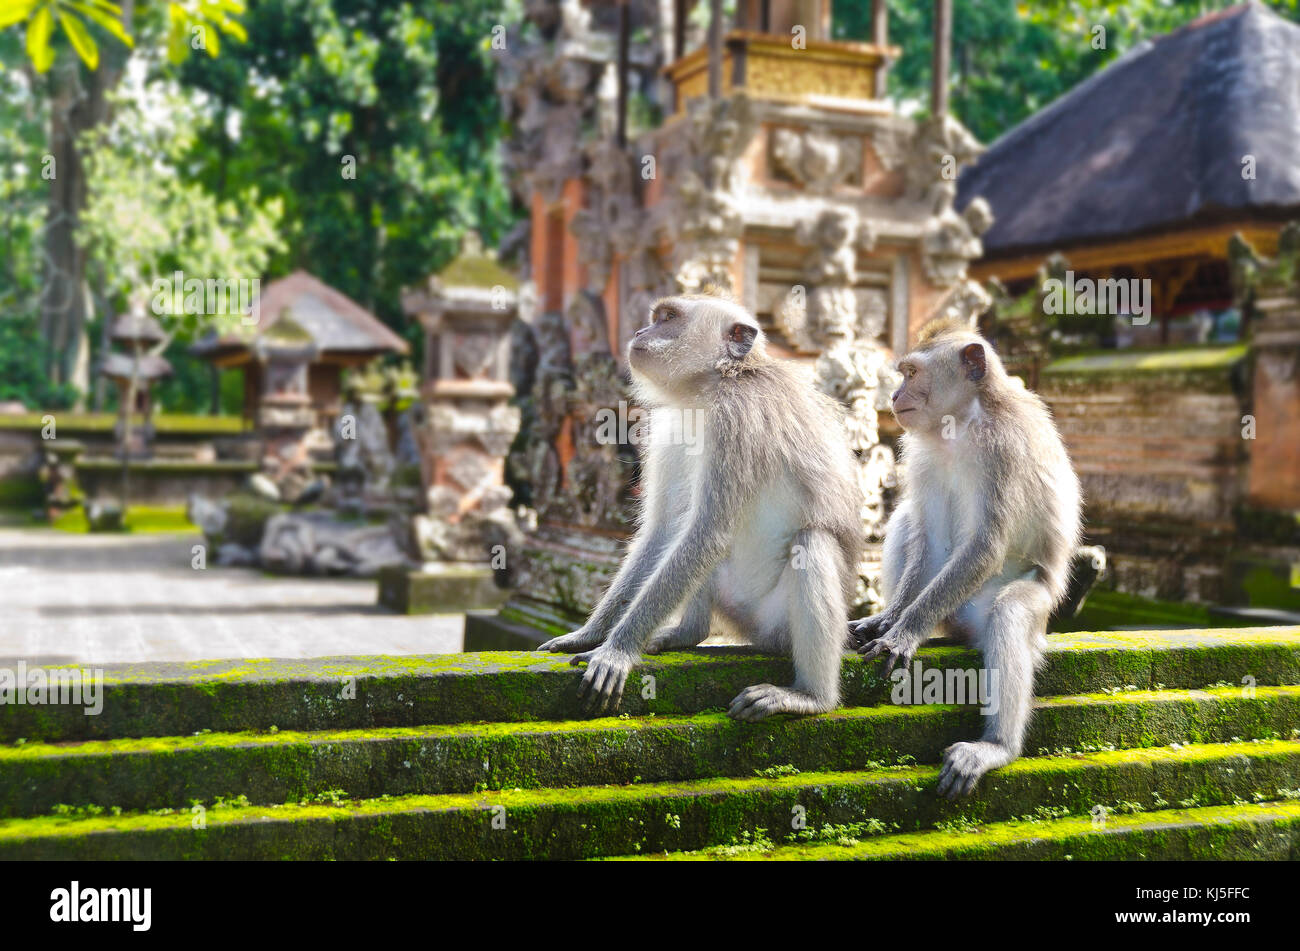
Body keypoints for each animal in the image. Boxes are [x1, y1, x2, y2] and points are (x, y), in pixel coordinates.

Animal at [539, 289, 863, 721]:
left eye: (668, 318)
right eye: (656, 317)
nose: (639, 331)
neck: (713, 386)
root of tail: (753, 631)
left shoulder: (736, 422)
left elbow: (708, 533)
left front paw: (616, 652)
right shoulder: (671, 427)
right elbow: (663, 533)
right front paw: (588, 635)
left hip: (778, 622)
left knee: (811, 542)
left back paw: (811, 696)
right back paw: (687, 634)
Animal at [848, 314, 1081, 798]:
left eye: (911, 373)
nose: (894, 396)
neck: (962, 422)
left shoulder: (1004, 449)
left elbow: (985, 546)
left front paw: (903, 633)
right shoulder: (921, 450)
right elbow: (930, 537)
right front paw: (890, 621)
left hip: (1026, 607)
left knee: (1010, 614)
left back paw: (996, 747)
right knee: (907, 517)